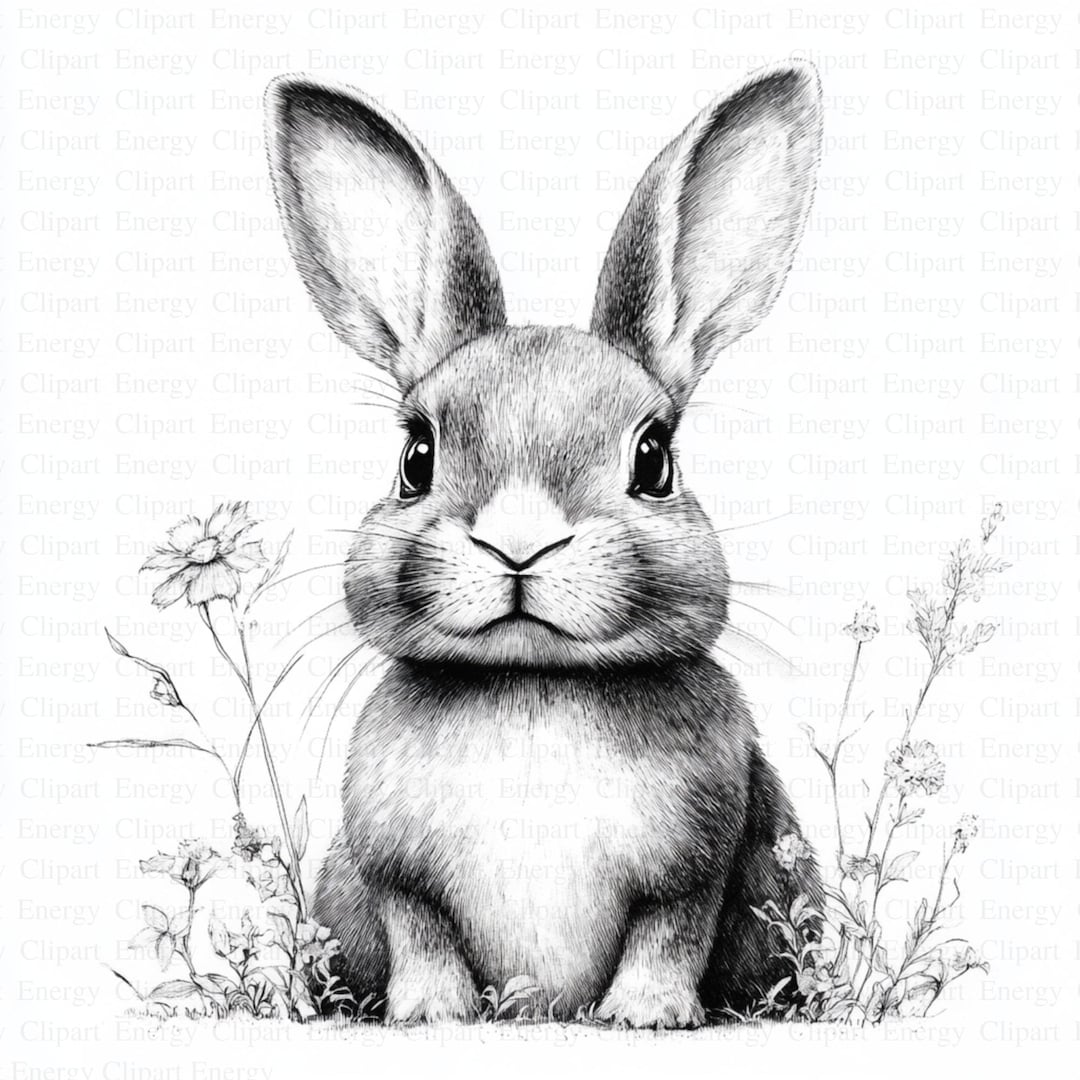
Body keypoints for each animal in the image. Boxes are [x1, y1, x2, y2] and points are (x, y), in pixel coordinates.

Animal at [265, 60, 824, 1027]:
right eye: (416, 456)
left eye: (654, 458)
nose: (518, 544)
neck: (532, 684)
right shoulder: (398, 876)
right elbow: (422, 935)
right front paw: (431, 1014)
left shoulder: (692, 871)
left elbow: (669, 935)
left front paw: (645, 1014)